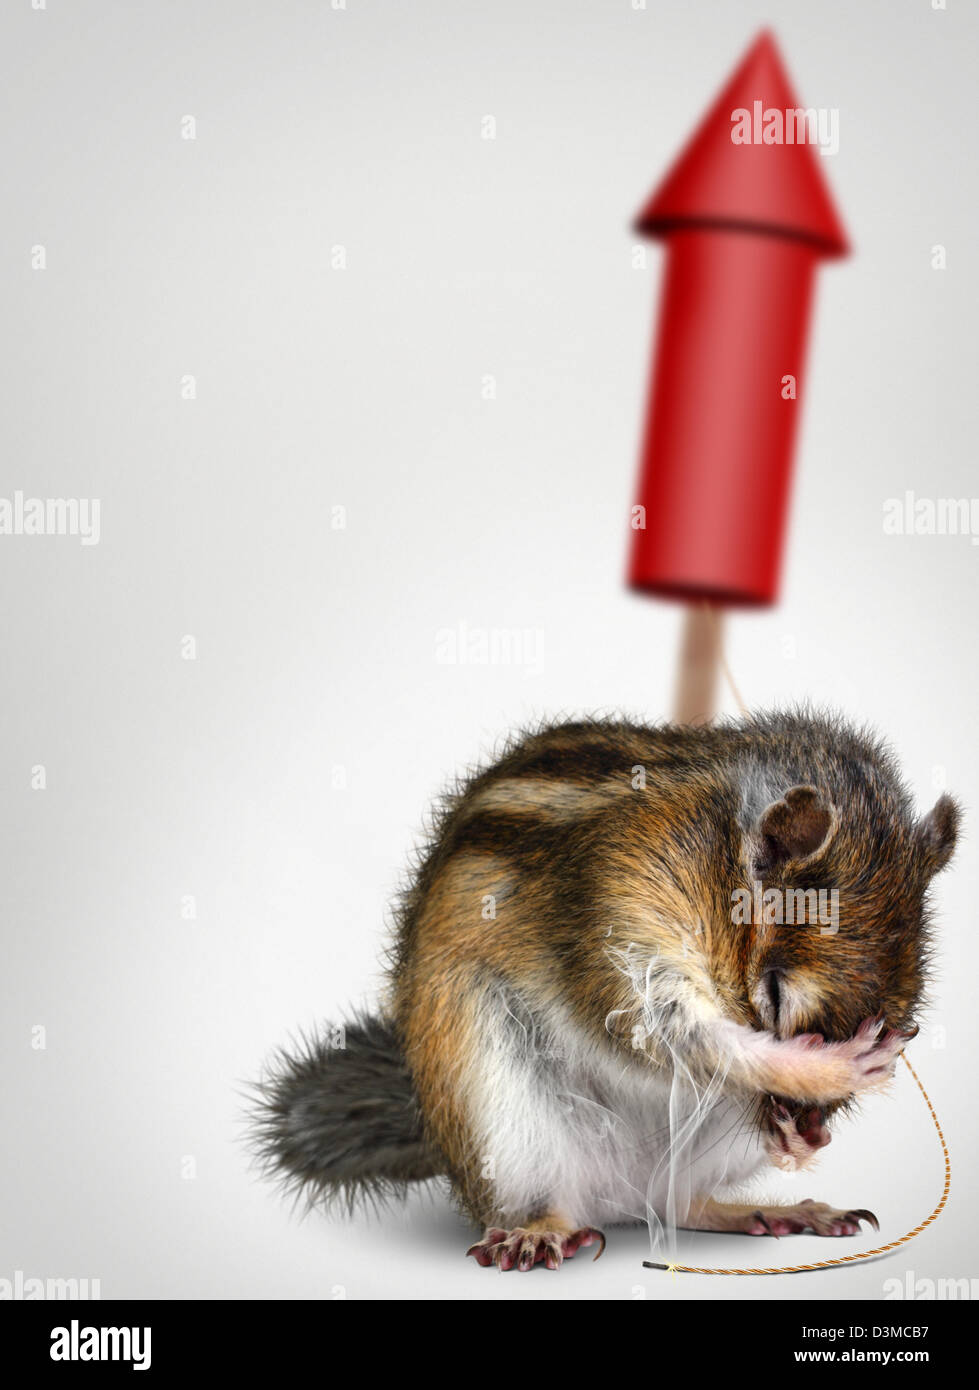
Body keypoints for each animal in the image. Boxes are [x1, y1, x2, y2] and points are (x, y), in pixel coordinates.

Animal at [252, 711, 959, 1271]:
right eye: (777, 995)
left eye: (909, 1015)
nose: (806, 1128)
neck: (714, 854)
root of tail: (620, 1194)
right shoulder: (617, 913)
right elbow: (664, 1032)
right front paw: (824, 1067)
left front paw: (809, 1132)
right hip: (496, 1113)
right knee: (553, 1198)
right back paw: (539, 1232)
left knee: (678, 1203)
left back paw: (769, 1211)